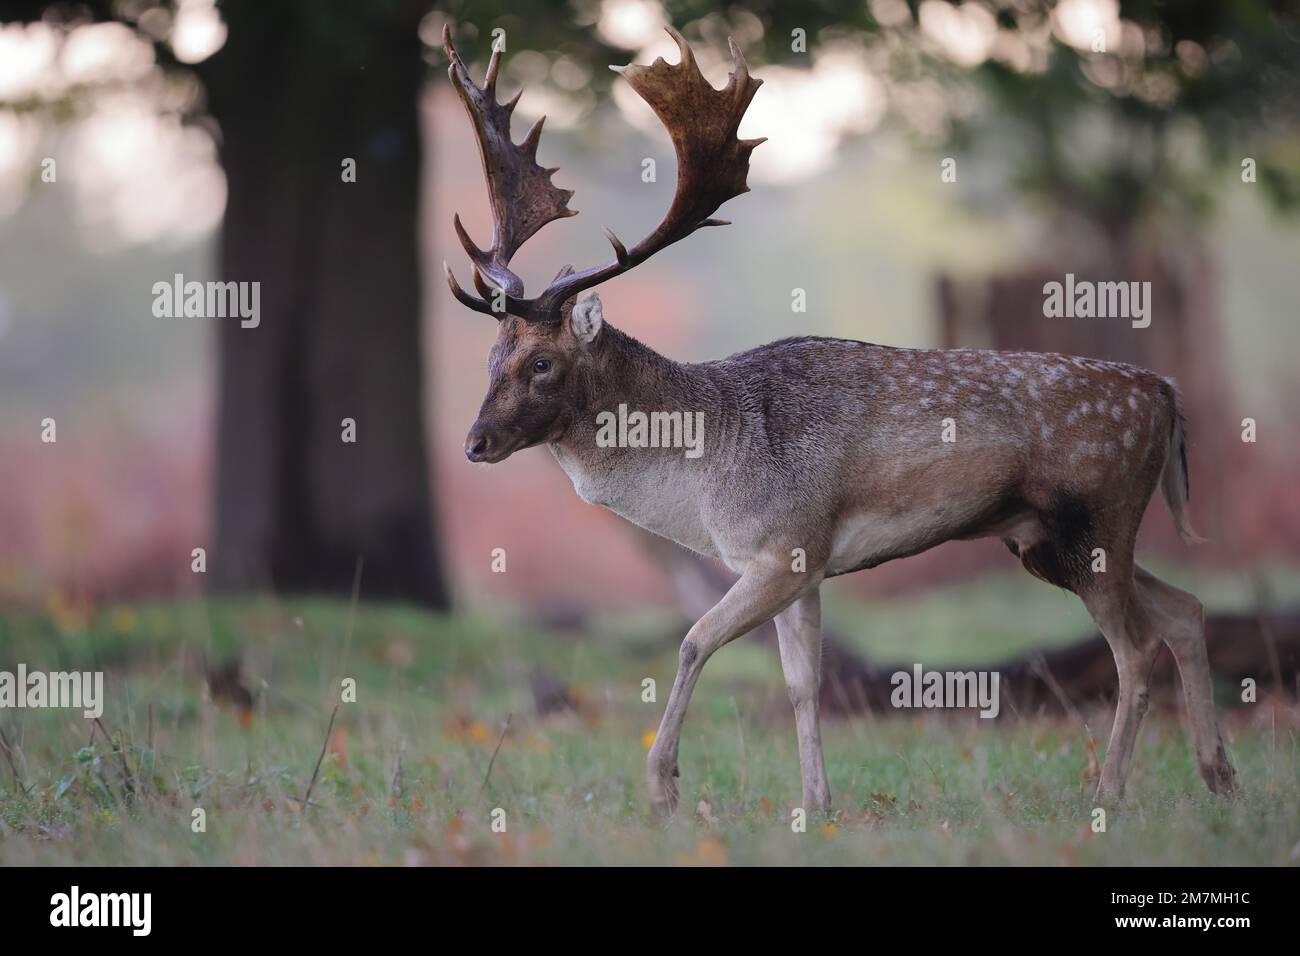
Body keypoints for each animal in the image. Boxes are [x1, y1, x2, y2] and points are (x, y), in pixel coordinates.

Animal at [441, 25, 1237, 818]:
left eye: (542, 363)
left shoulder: (784, 543)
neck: (703, 481)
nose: (475, 443)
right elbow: (803, 682)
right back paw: (1218, 775)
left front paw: (662, 787)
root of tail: (1165, 393)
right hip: (1054, 537)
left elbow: (694, 641)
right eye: (491, 356)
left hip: (1092, 519)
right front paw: (815, 804)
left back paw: (1109, 790)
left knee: (1136, 646)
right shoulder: (804, 564)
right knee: (1185, 608)